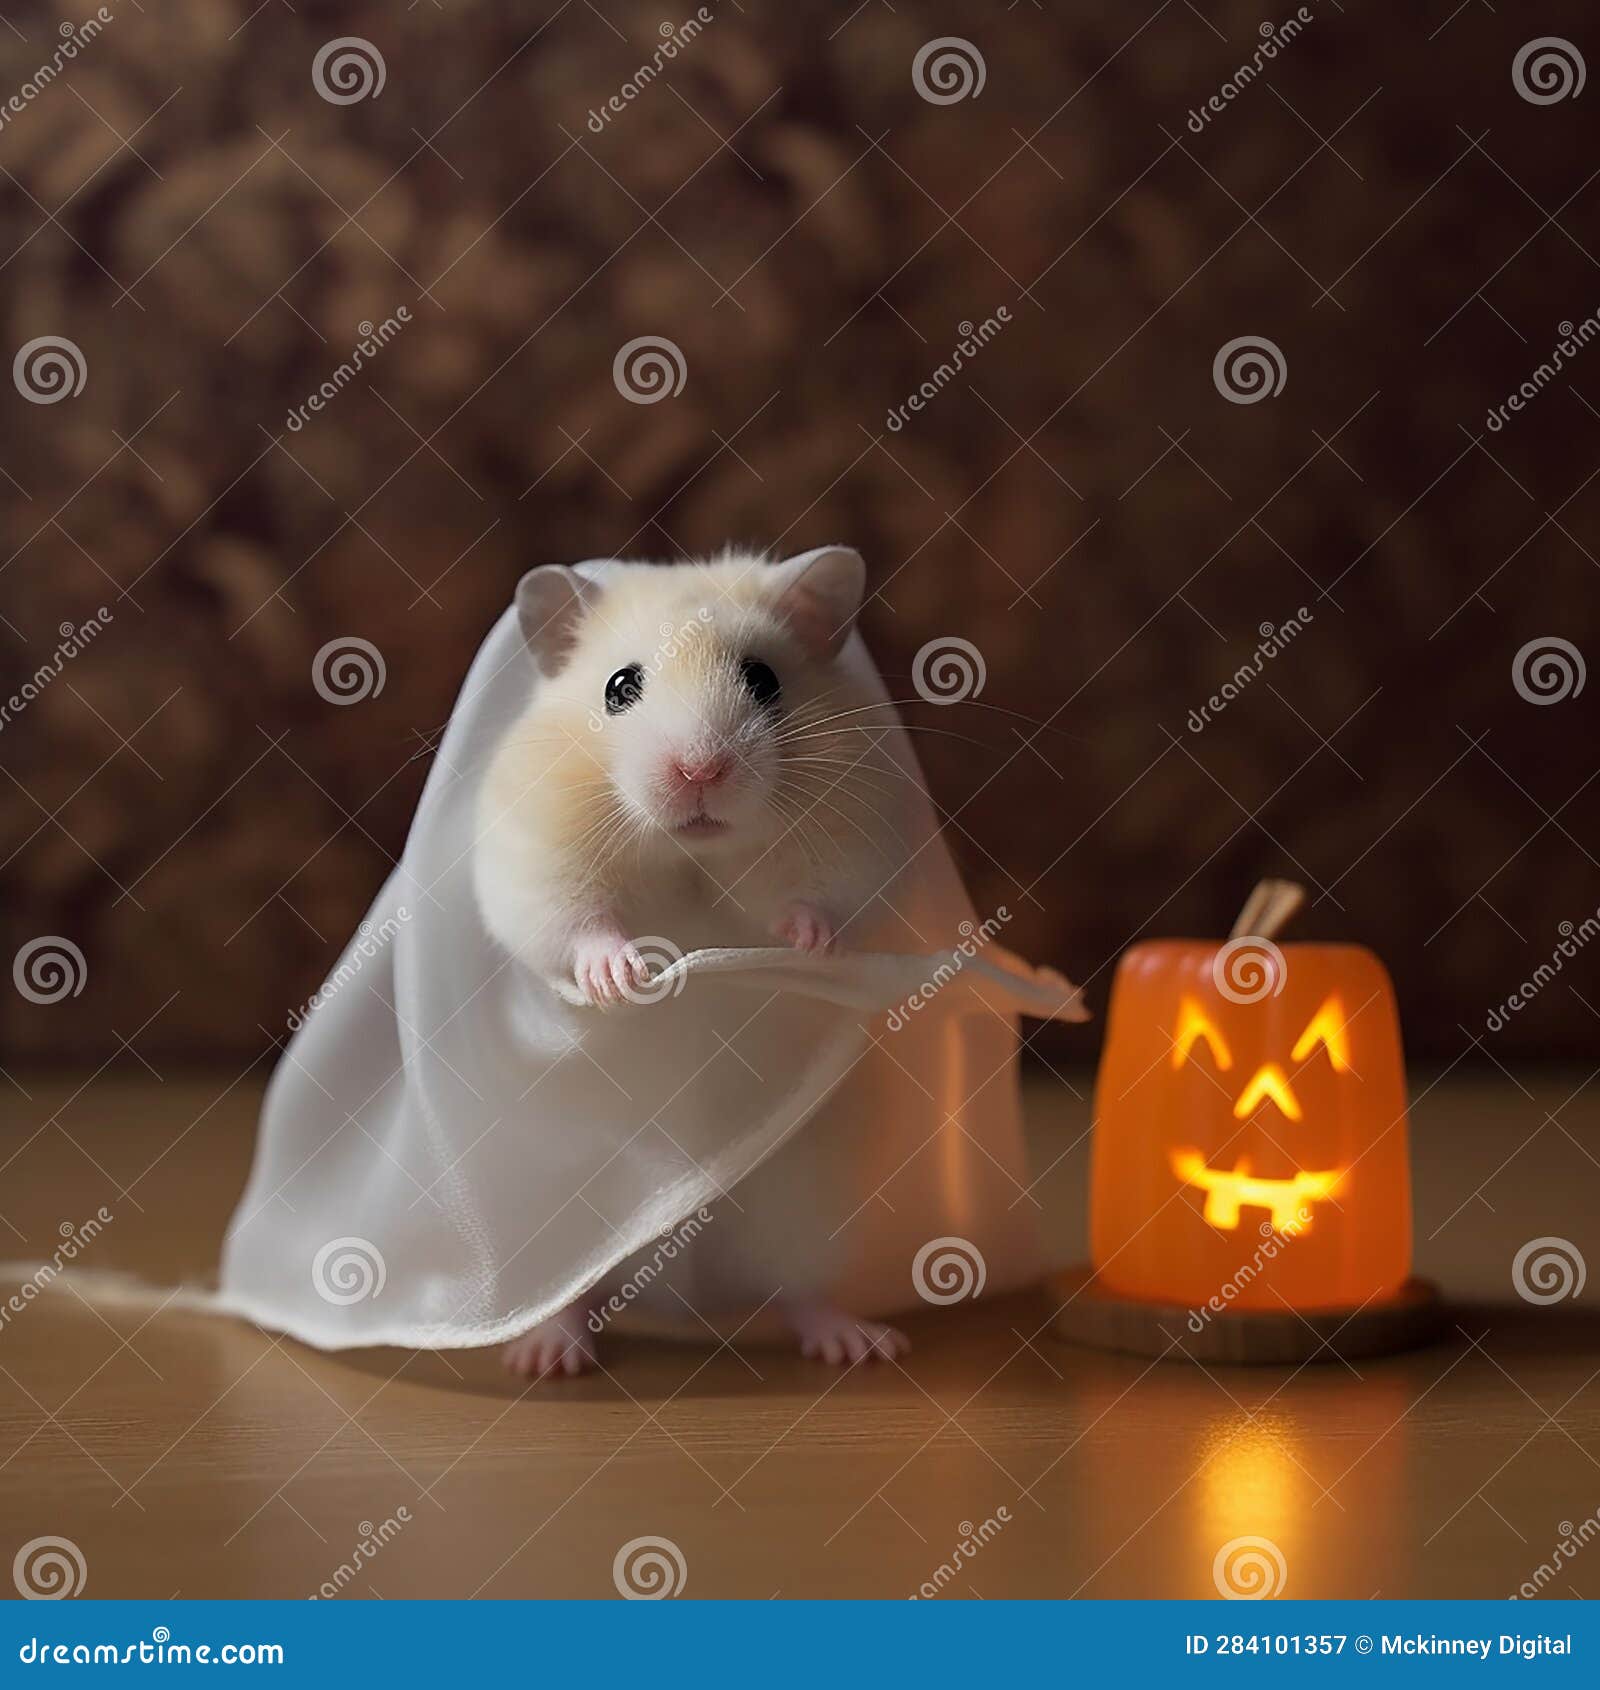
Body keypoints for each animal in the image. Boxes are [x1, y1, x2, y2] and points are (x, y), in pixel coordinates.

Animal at [473, 547, 912, 1008]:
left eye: (763, 680)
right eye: (619, 687)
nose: (699, 770)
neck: (692, 849)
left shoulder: (855, 845)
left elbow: (816, 897)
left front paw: (815, 945)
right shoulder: (536, 859)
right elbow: (579, 922)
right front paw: (619, 979)